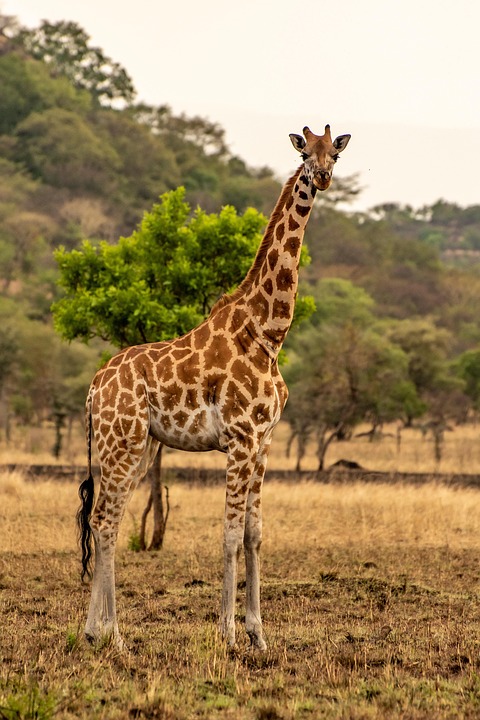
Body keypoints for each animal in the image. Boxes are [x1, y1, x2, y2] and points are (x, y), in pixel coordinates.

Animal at [77, 123, 351, 650]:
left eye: (336, 153)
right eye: (304, 153)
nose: (322, 178)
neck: (267, 334)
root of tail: (95, 387)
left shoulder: (264, 443)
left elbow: (254, 534)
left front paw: (258, 635)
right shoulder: (241, 440)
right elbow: (227, 533)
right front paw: (227, 633)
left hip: (138, 446)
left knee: (108, 520)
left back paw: (95, 632)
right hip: (121, 442)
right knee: (103, 520)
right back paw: (113, 635)